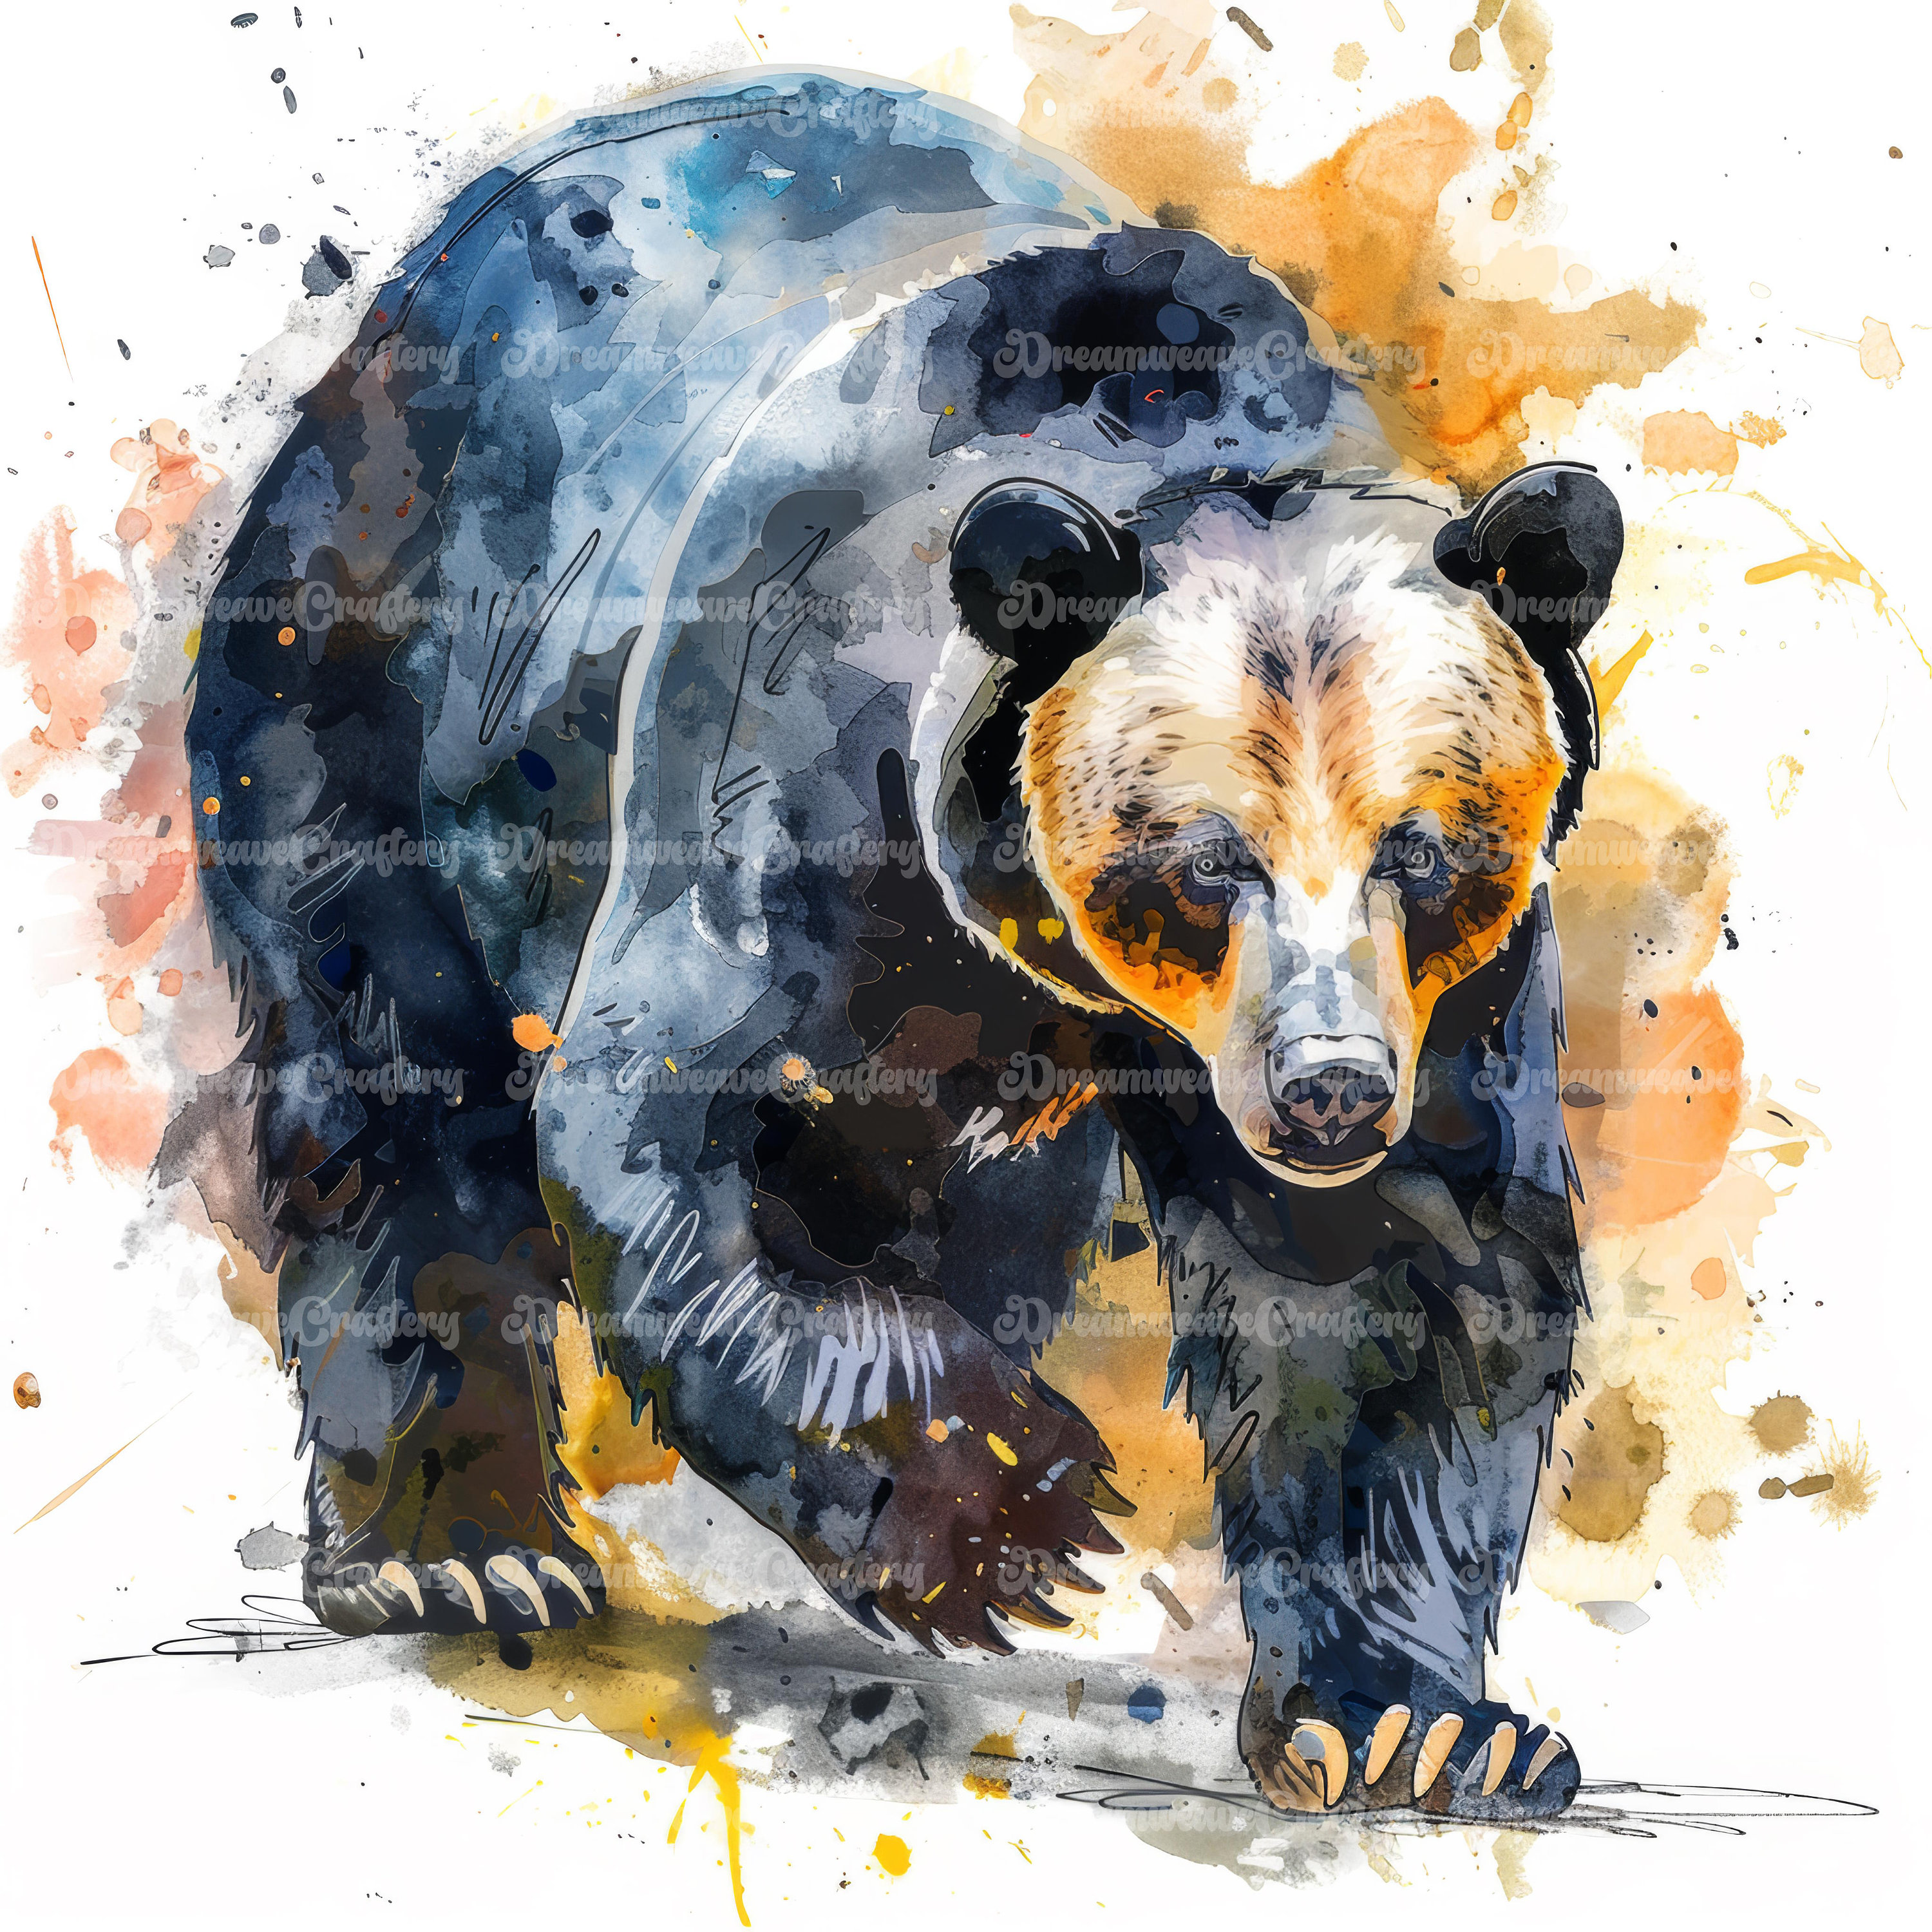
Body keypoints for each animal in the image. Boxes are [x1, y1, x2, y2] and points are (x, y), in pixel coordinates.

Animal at [172, 70, 1621, 1821]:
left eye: (1426, 848)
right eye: (1206, 859)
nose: (1327, 1088)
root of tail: (388, 317)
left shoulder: (1443, 1001)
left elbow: (1391, 1276)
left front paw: (1411, 1723)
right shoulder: (773, 759)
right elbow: (670, 1133)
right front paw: (1018, 1509)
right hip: (369, 670)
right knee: (389, 1080)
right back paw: (462, 1553)